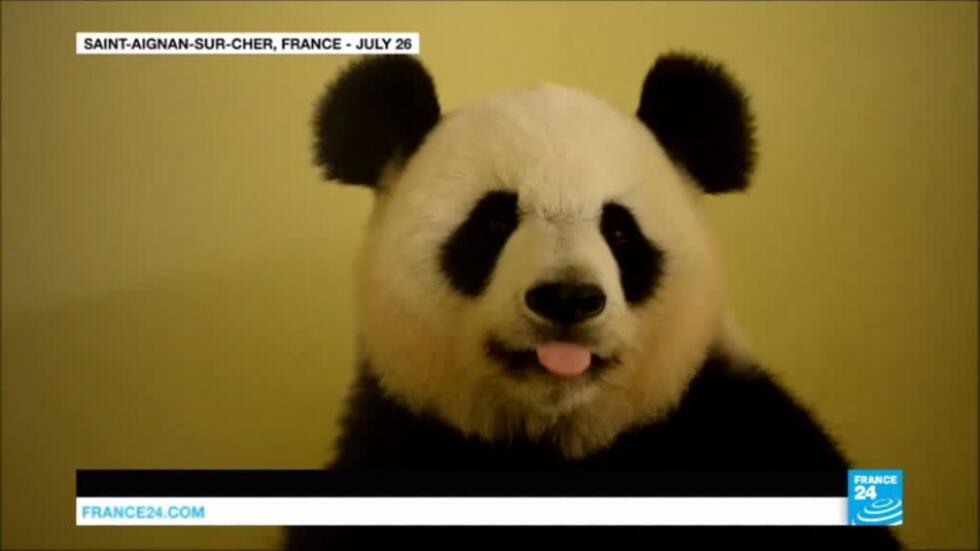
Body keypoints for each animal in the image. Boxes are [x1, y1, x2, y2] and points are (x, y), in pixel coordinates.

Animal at [285, 53, 902, 549]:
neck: (553, 443)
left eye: (620, 231)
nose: (567, 298)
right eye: (493, 223)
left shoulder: (738, 426)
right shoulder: (394, 447)